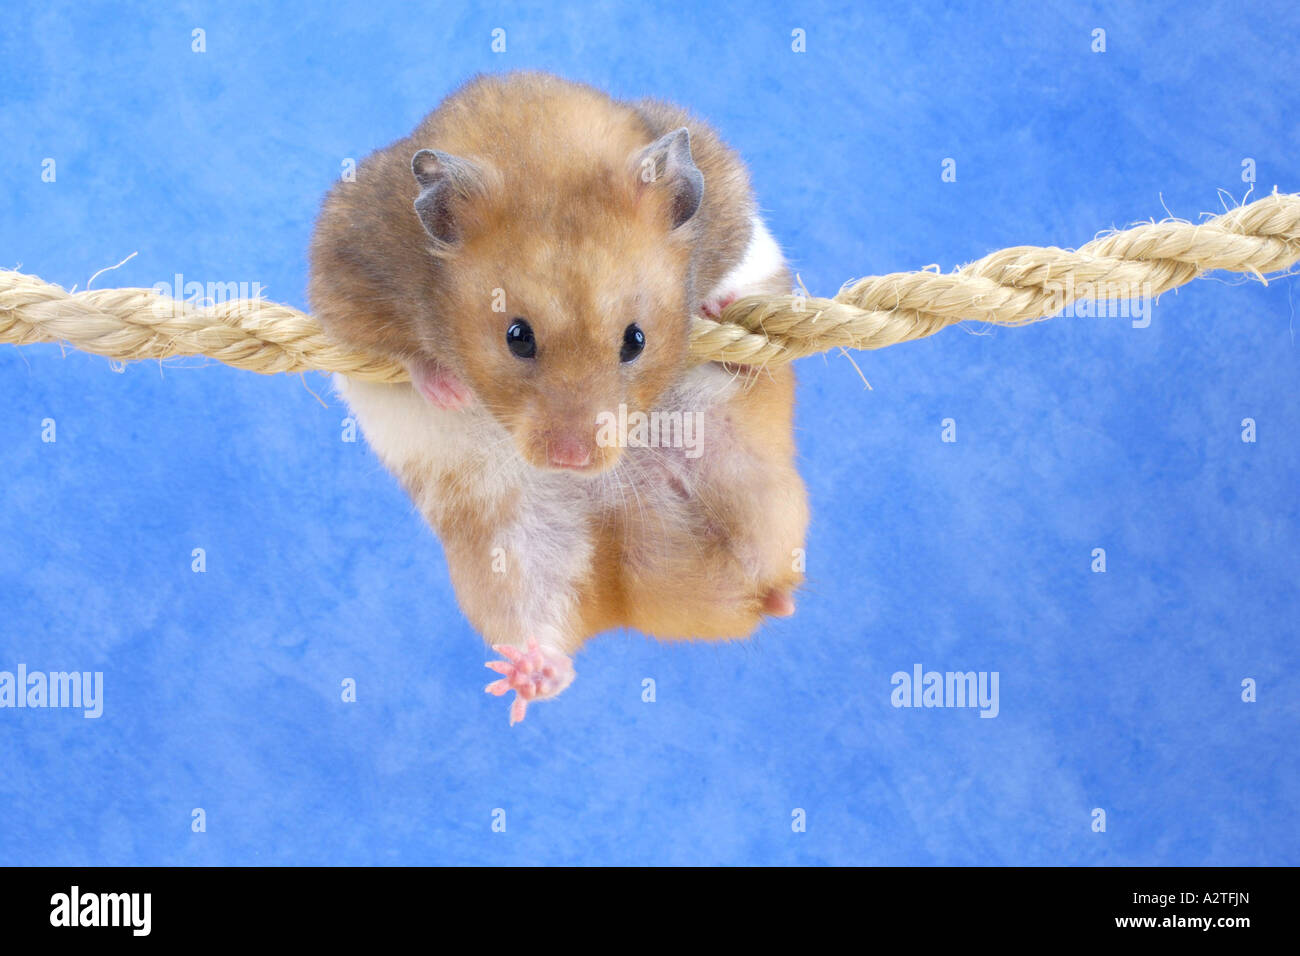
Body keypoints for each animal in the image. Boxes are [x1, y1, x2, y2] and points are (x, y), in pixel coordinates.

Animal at [308, 72, 808, 724]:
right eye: (517, 336)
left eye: (635, 339)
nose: (572, 460)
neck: (543, 148)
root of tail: (627, 590)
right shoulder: (345, 266)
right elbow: (389, 345)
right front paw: (445, 387)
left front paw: (711, 303)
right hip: (506, 553)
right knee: (542, 623)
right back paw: (529, 674)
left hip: (749, 470)